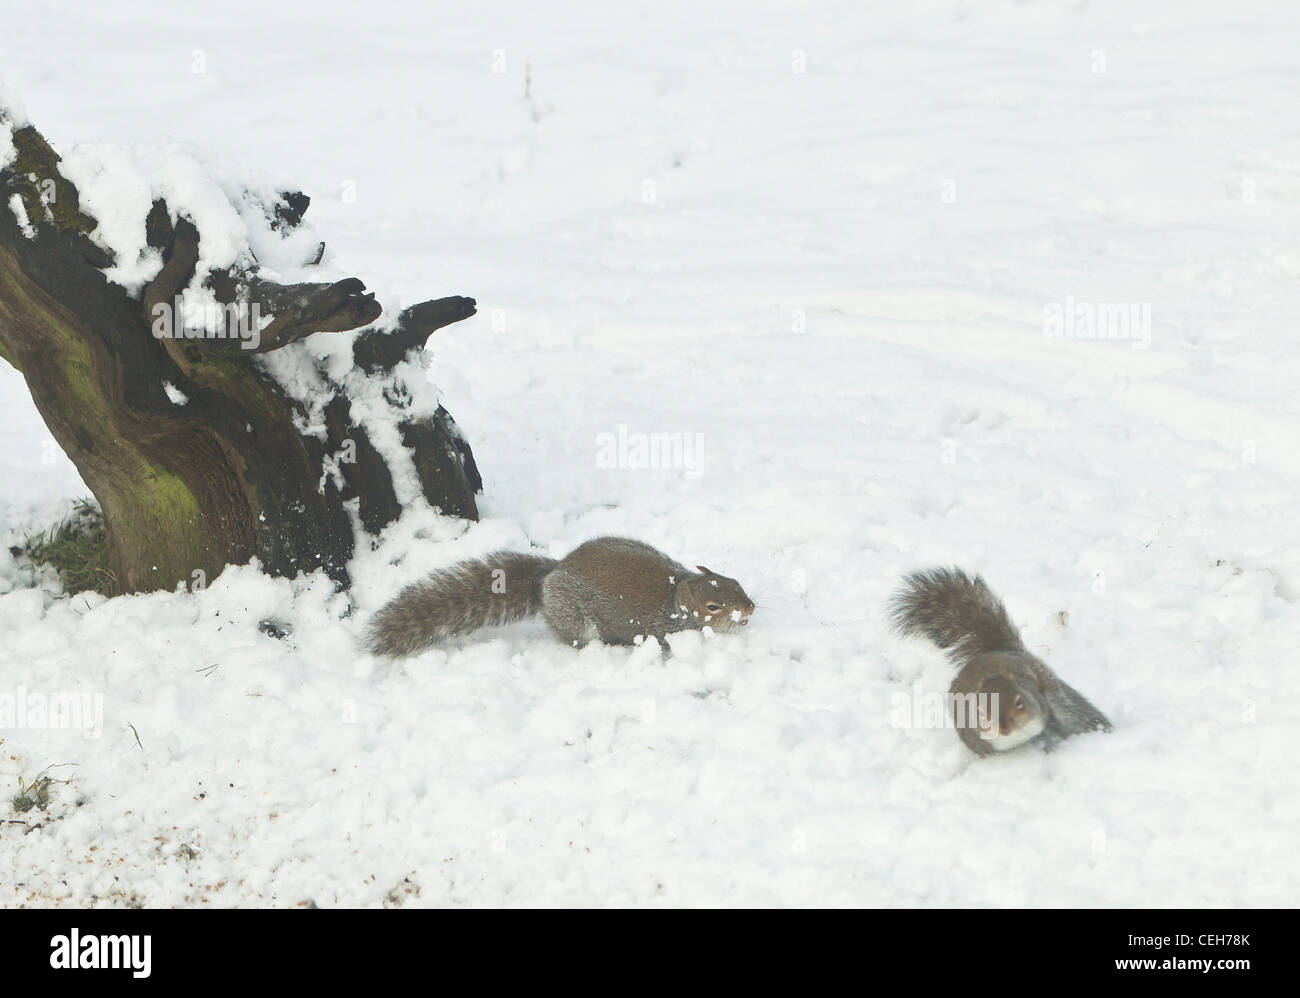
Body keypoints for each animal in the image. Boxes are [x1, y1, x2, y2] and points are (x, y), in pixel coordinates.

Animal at [366, 536, 755, 657]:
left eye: (734, 581)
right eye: (713, 606)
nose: (749, 608)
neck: (676, 600)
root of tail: (548, 576)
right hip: (575, 619)